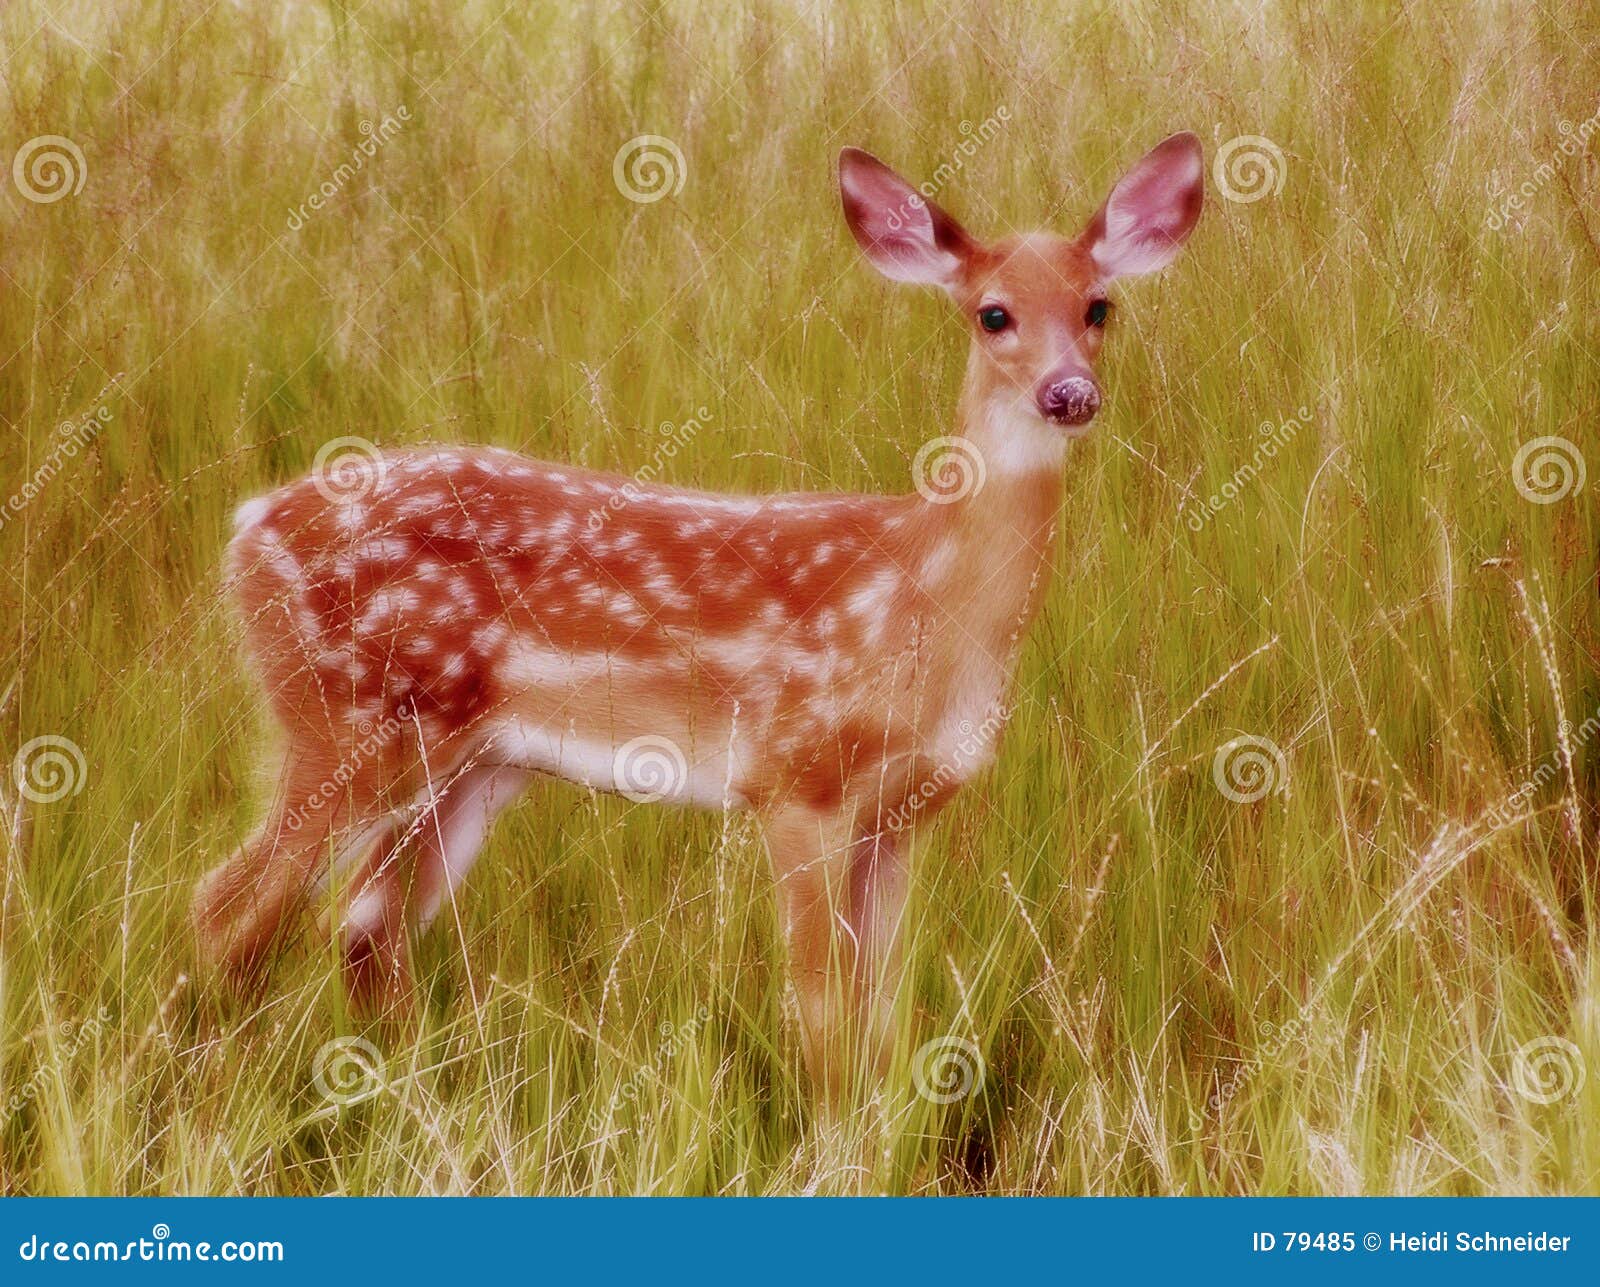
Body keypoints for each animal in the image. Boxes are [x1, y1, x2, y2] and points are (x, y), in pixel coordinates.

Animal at [193, 132, 1204, 1102]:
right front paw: (835, 1140)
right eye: (993, 313)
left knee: (369, 924)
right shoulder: (793, 776)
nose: (1069, 393)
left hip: (479, 758)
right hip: (342, 717)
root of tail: (248, 529)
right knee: (229, 906)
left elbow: (882, 1018)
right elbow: (822, 1014)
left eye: (1099, 307)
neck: (922, 593)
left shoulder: (906, 808)